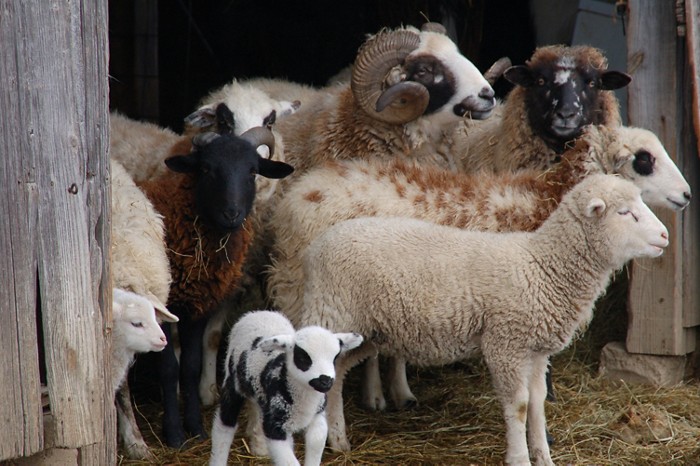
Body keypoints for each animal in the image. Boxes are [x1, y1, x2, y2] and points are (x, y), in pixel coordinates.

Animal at [137, 126, 295, 448]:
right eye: (207, 169)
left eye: (252, 170)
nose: (232, 214)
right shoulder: (163, 303)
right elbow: (169, 369)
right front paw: (174, 434)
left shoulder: (197, 304)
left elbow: (191, 365)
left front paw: (196, 428)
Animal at [209, 310, 363, 466]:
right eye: (303, 358)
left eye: (335, 358)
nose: (325, 381)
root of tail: (256, 313)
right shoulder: (275, 426)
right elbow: (289, 461)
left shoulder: (317, 415)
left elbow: (316, 441)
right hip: (232, 377)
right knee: (224, 425)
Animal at [299, 173, 669, 463]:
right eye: (625, 213)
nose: (666, 235)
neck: (543, 266)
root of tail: (318, 245)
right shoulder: (506, 345)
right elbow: (519, 406)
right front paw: (519, 458)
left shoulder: (536, 352)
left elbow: (537, 404)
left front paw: (544, 457)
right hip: (332, 313)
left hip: (365, 333)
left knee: (335, 378)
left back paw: (338, 440)